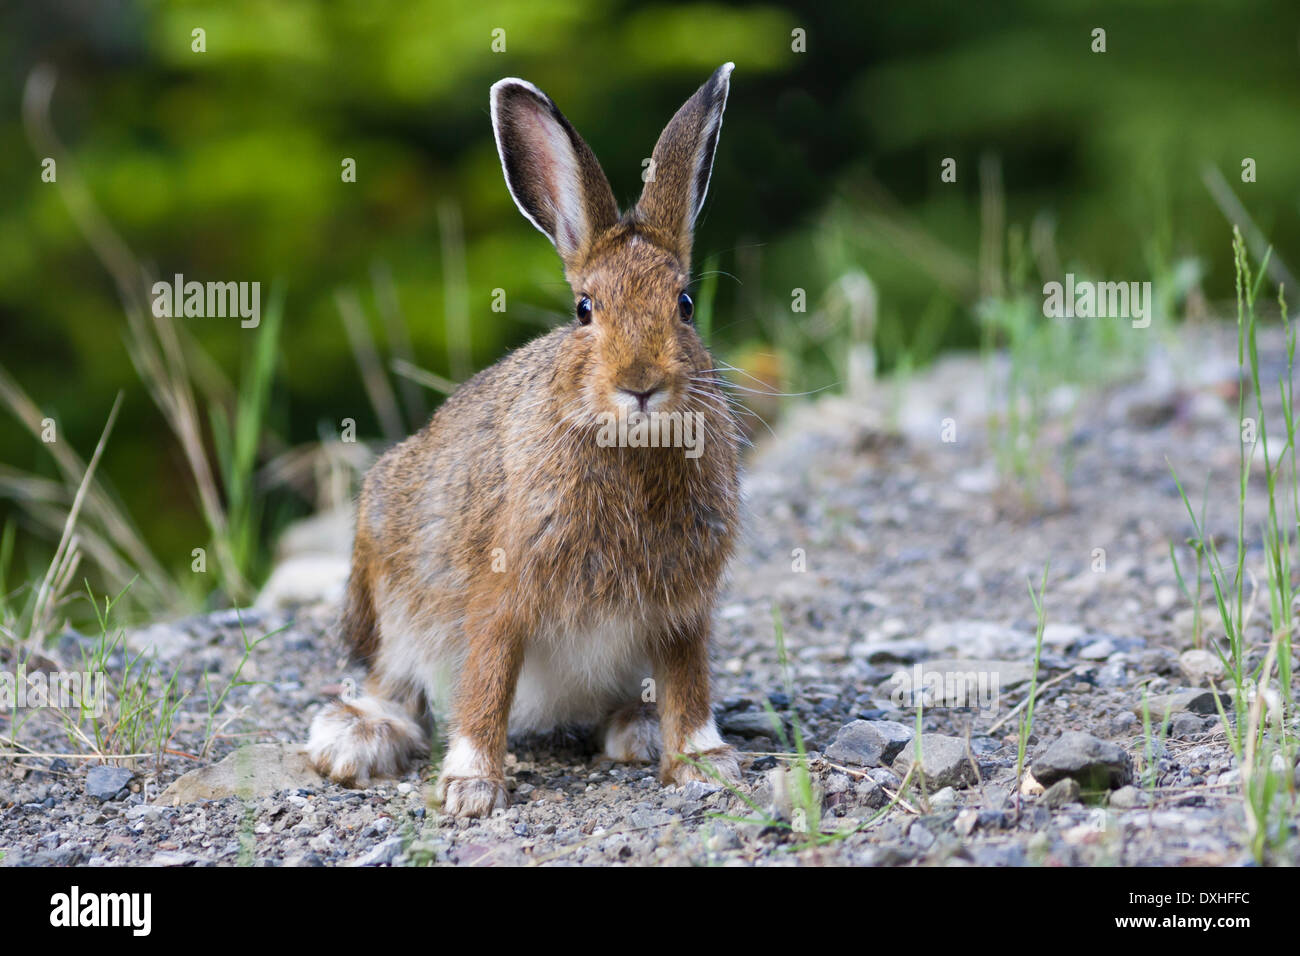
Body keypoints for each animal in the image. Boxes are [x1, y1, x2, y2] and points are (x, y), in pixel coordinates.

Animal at [307, 63, 742, 817]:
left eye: (685, 306)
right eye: (584, 310)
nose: (640, 384)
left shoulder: (681, 608)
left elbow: (689, 682)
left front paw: (703, 763)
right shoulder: (503, 590)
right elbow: (488, 679)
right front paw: (471, 788)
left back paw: (637, 730)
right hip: (384, 582)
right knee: (395, 685)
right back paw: (356, 738)